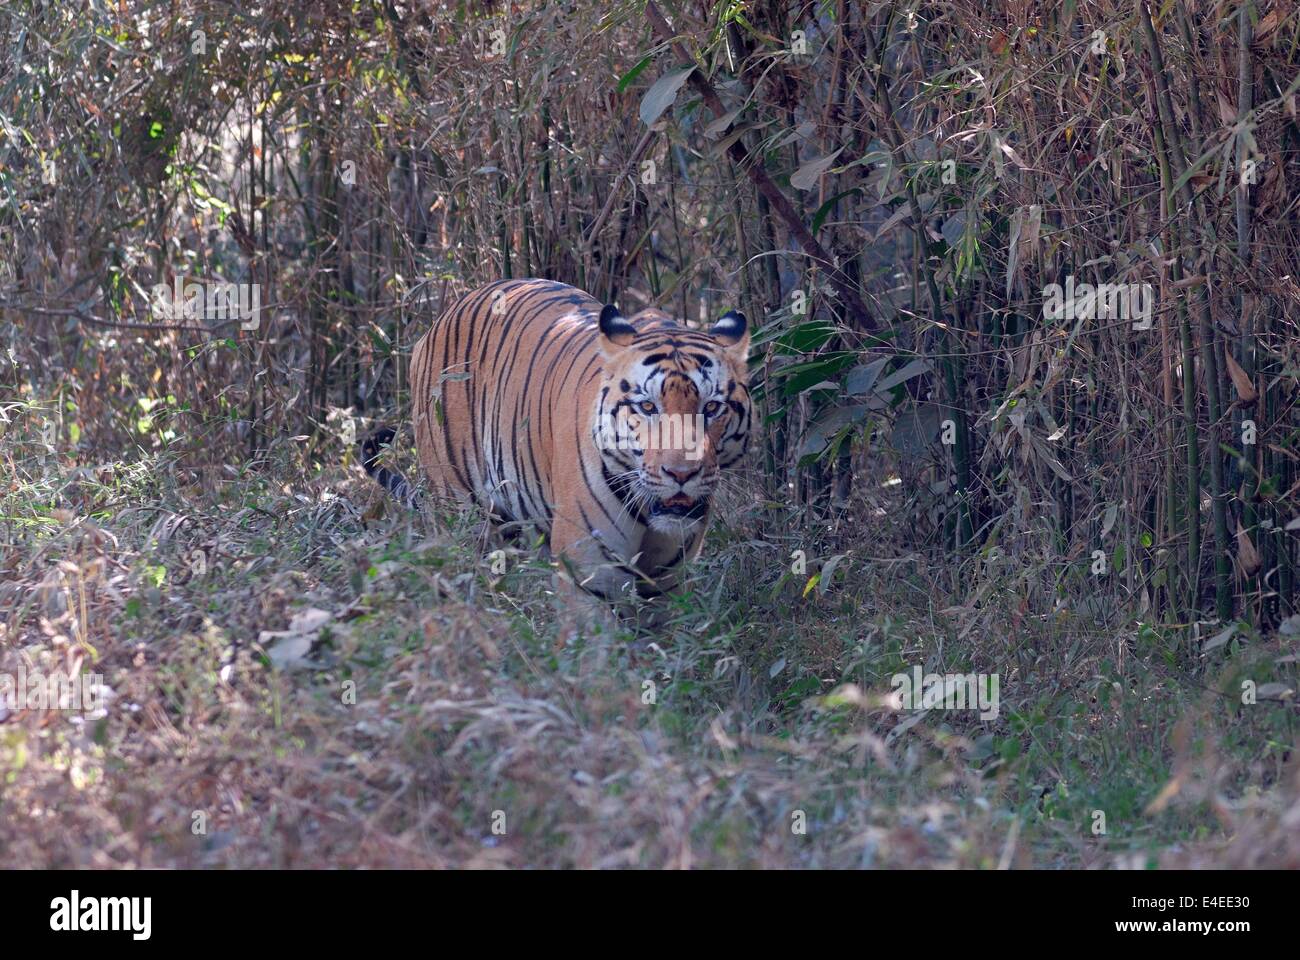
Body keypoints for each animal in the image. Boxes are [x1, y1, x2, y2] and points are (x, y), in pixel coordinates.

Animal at [363, 278, 752, 606]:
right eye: (647, 407)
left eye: (711, 407)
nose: (682, 474)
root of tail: (437, 322)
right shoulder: (588, 576)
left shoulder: (667, 583)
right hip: (459, 511)